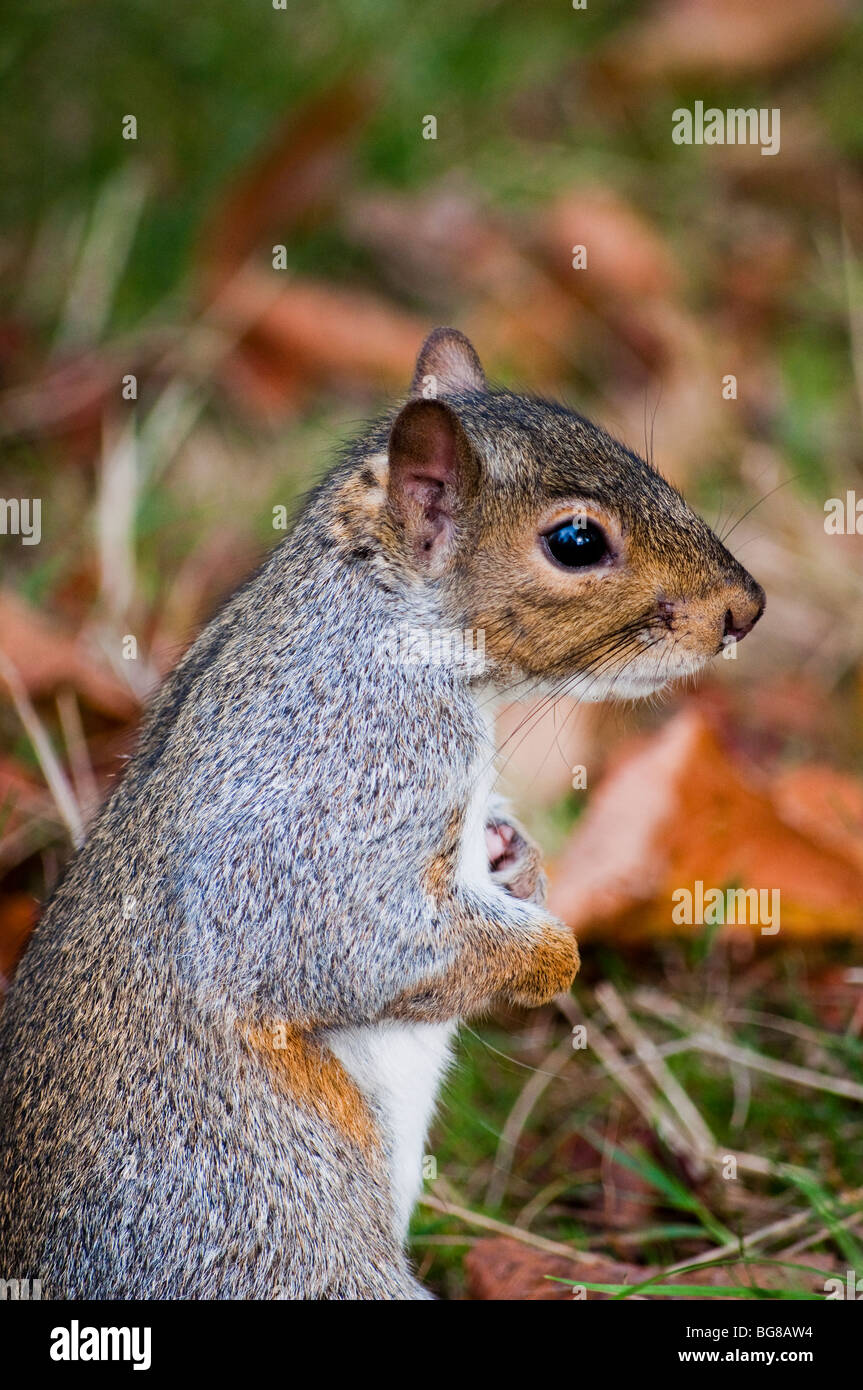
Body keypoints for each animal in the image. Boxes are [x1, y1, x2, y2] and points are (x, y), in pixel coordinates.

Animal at [0, 328, 764, 1300]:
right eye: (576, 541)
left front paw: (512, 854)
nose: (744, 609)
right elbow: (350, 937)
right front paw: (551, 955)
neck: (395, 627)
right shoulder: (340, 780)